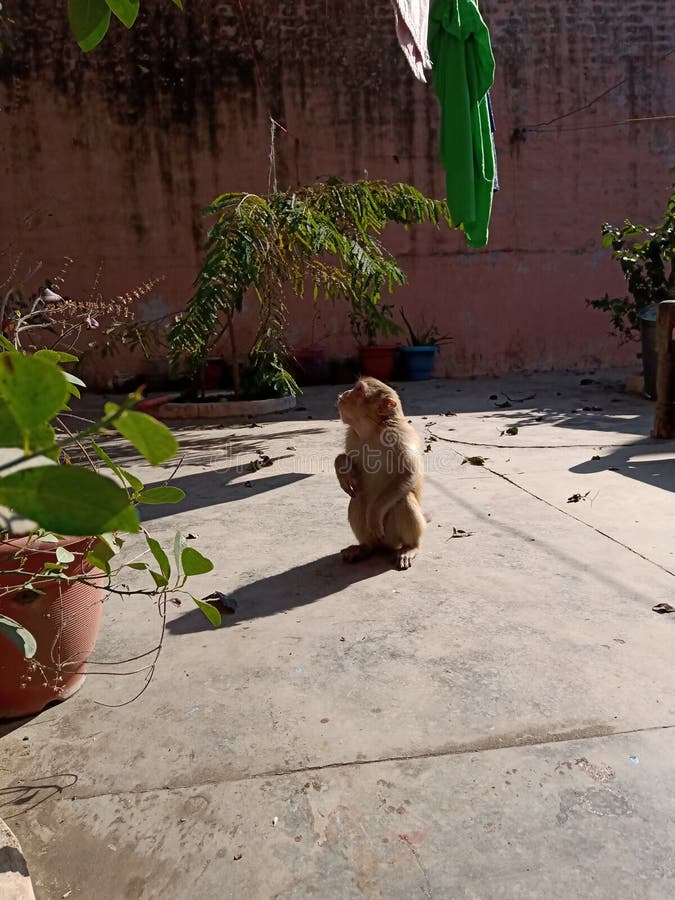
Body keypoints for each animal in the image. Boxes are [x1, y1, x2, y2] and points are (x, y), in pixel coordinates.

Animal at [335, 377, 427, 570]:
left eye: (358, 389)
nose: (345, 393)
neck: (372, 430)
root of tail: (383, 545)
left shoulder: (397, 434)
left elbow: (408, 473)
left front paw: (374, 515)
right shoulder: (352, 436)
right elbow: (350, 465)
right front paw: (341, 466)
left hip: (390, 536)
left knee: (404, 499)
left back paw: (410, 547)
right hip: (376, 538)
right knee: (357, 499)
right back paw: (364, 548)